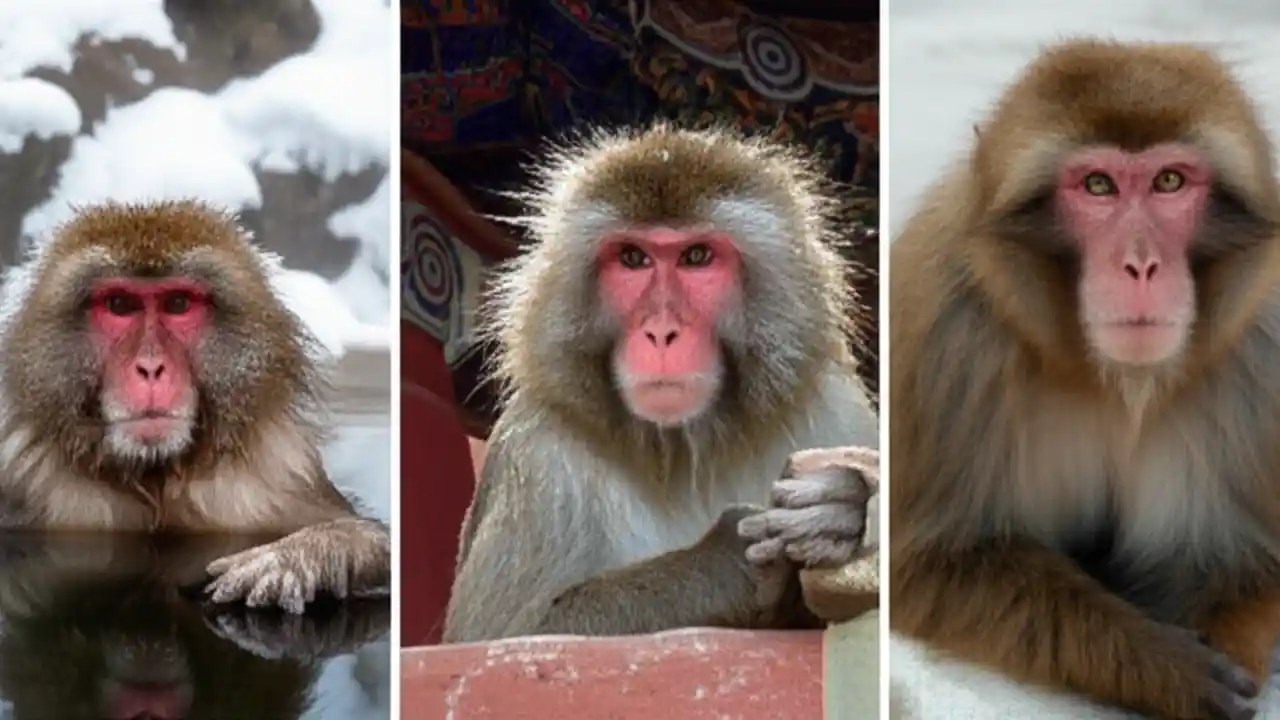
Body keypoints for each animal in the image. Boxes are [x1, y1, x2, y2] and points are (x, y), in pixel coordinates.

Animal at [0, 200, 390, 616]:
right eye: (119, 304)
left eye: (178, 304)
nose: (150, 367)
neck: (156, 477)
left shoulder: (275, 486)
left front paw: (305, 554)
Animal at [440, 124, 880, 643]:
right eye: (633, 258)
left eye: (696, 256)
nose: (661, 332)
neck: (687, 448)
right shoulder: (536, 452)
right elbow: (503, 636)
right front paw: (727, 558)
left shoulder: (838, 407)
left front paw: (844, 507)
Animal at [889, 39, 1280, 720]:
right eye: (1098, 185)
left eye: (1170, 181)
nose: (1141, 264)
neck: (1116, 381)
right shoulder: (950, 343)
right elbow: (941, 564)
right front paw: (1172, 670)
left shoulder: (1259, 365)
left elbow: (1237, 567)